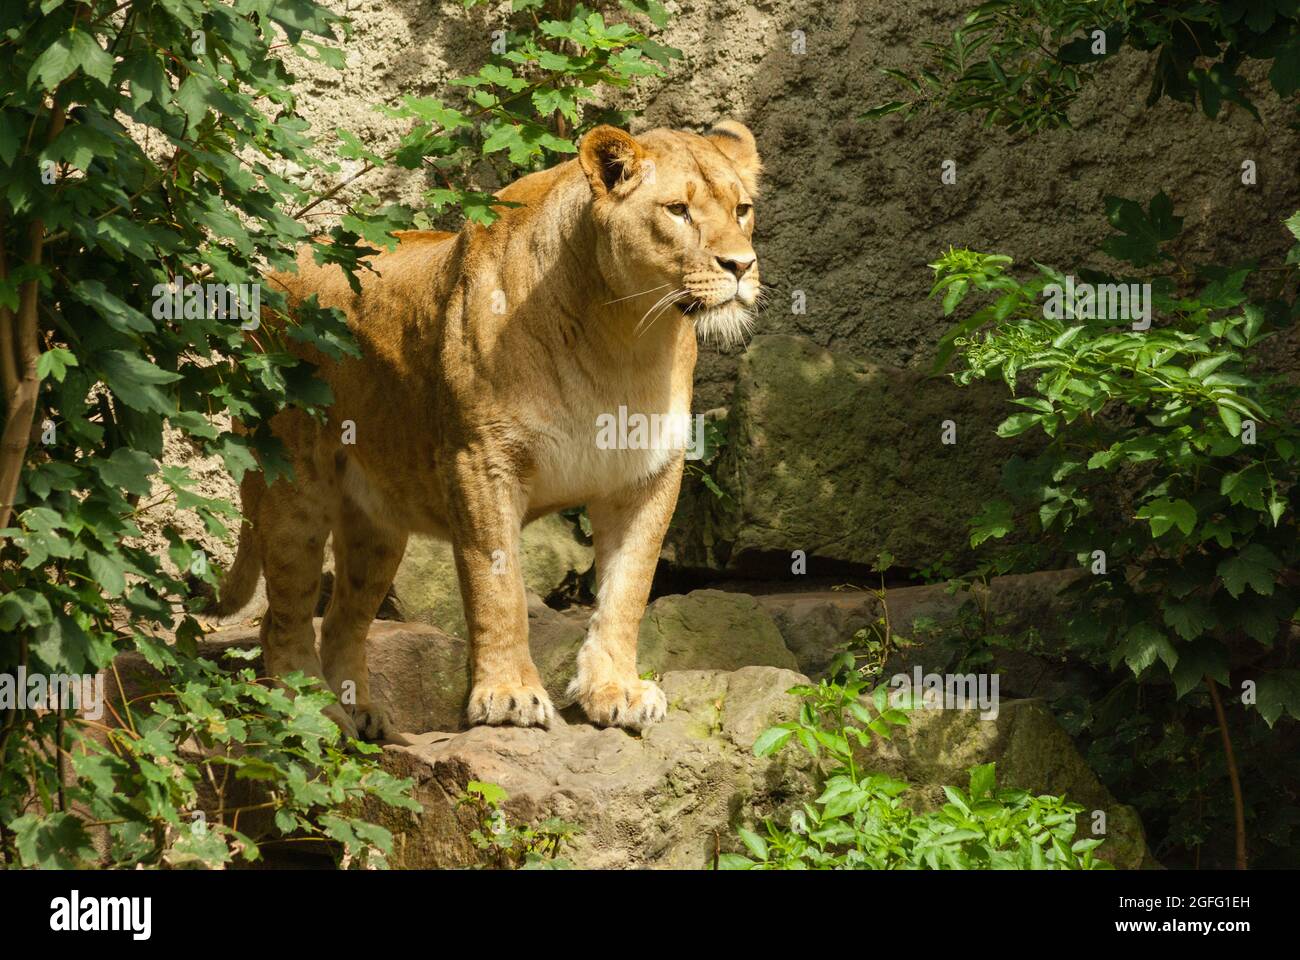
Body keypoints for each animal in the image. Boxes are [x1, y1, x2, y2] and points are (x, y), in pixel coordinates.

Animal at [215, 122, 762, 739]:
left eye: (742, 209)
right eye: (677, 211)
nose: (741, 266)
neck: (624, 336)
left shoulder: (646, 475)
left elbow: (628, 589)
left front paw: (615, 690)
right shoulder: (482, 461)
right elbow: (497, 586)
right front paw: (509, 697)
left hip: (377, 526)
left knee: (341, 620)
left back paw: (360, 712)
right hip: (294, 491)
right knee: (282, 619)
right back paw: (313, 714)